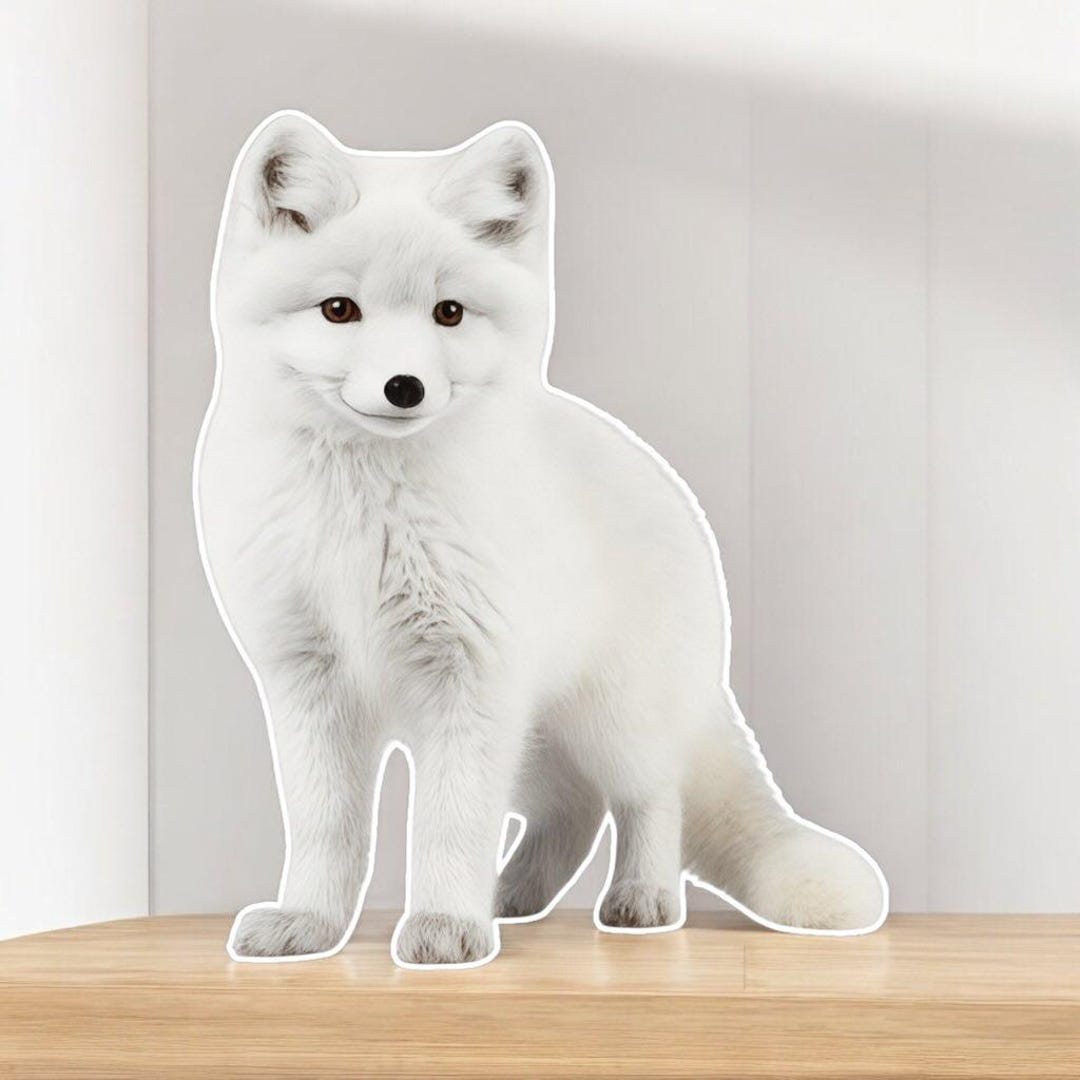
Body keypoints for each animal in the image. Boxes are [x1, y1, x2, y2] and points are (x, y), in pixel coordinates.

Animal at [196, 112, 887, 967]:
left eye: (449, 313)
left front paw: (443, 927)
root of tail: (674, 492)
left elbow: (449, 823)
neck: (367, 515)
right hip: (535, 738)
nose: (404, 388)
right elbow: (327, 827)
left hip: (607, 720)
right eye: (337, 310)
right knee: (573, 811)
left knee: (649, 797)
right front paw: (312, 925)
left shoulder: (471, 674)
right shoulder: (305, 681)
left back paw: (641, 898)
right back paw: (512, 896)